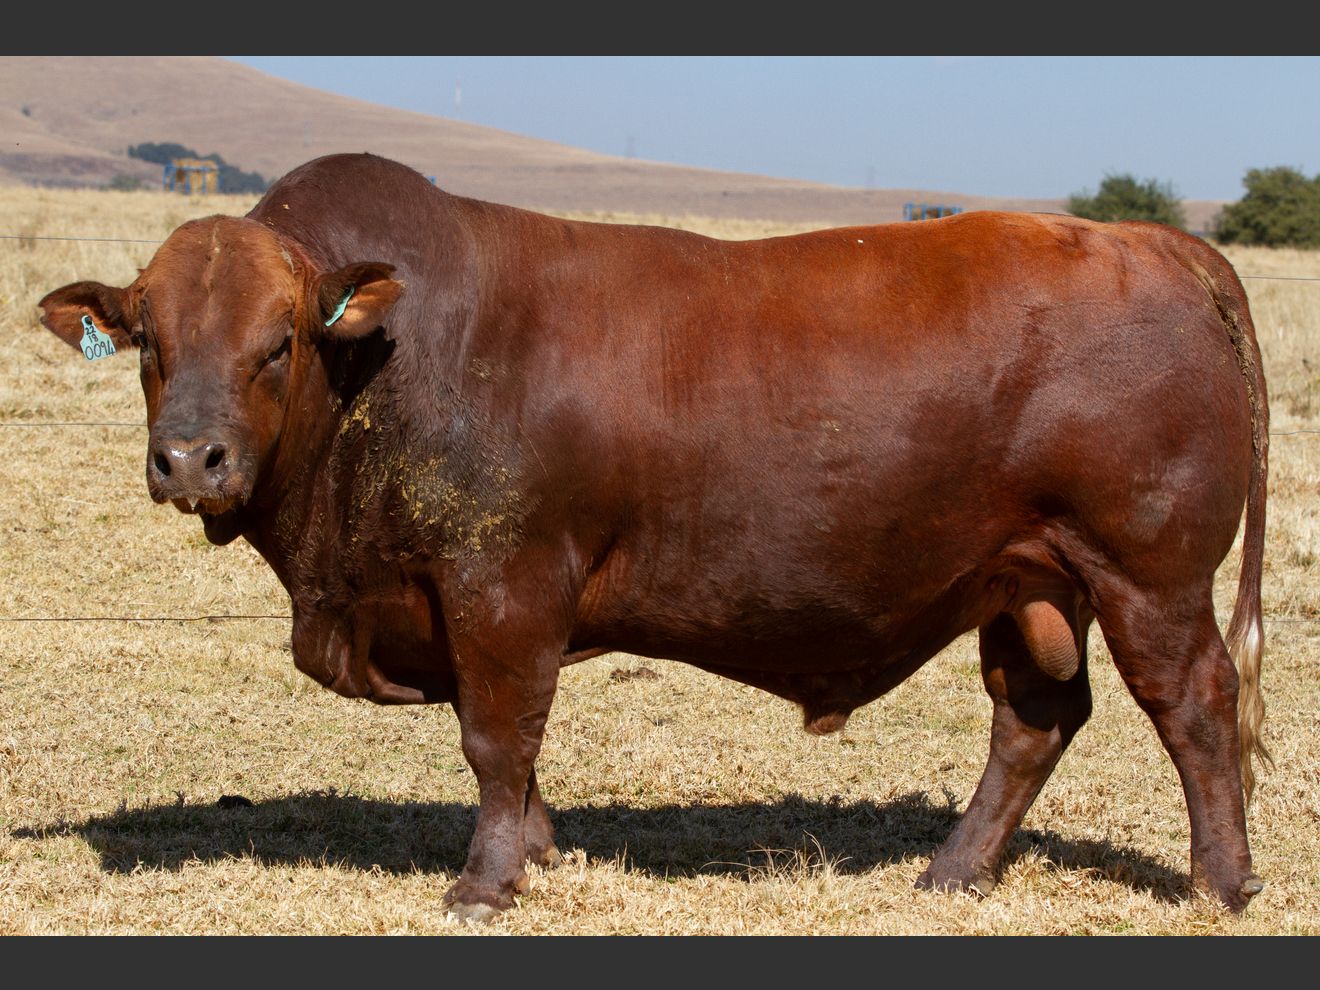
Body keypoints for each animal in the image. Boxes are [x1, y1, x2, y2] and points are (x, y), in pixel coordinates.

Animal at [38, 152, 1270, 922]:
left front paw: (485, 884)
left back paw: (1221, 883)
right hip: (1027, 579)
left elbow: (496, 738)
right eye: (149, 340)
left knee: (1195, 705)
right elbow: (510, 752)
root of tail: (1151, 240)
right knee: (1035, 717)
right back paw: (954, 874)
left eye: (279, 341)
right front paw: (537, 850)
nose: (190, 460)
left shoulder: (503, 584)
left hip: (1149, 573)